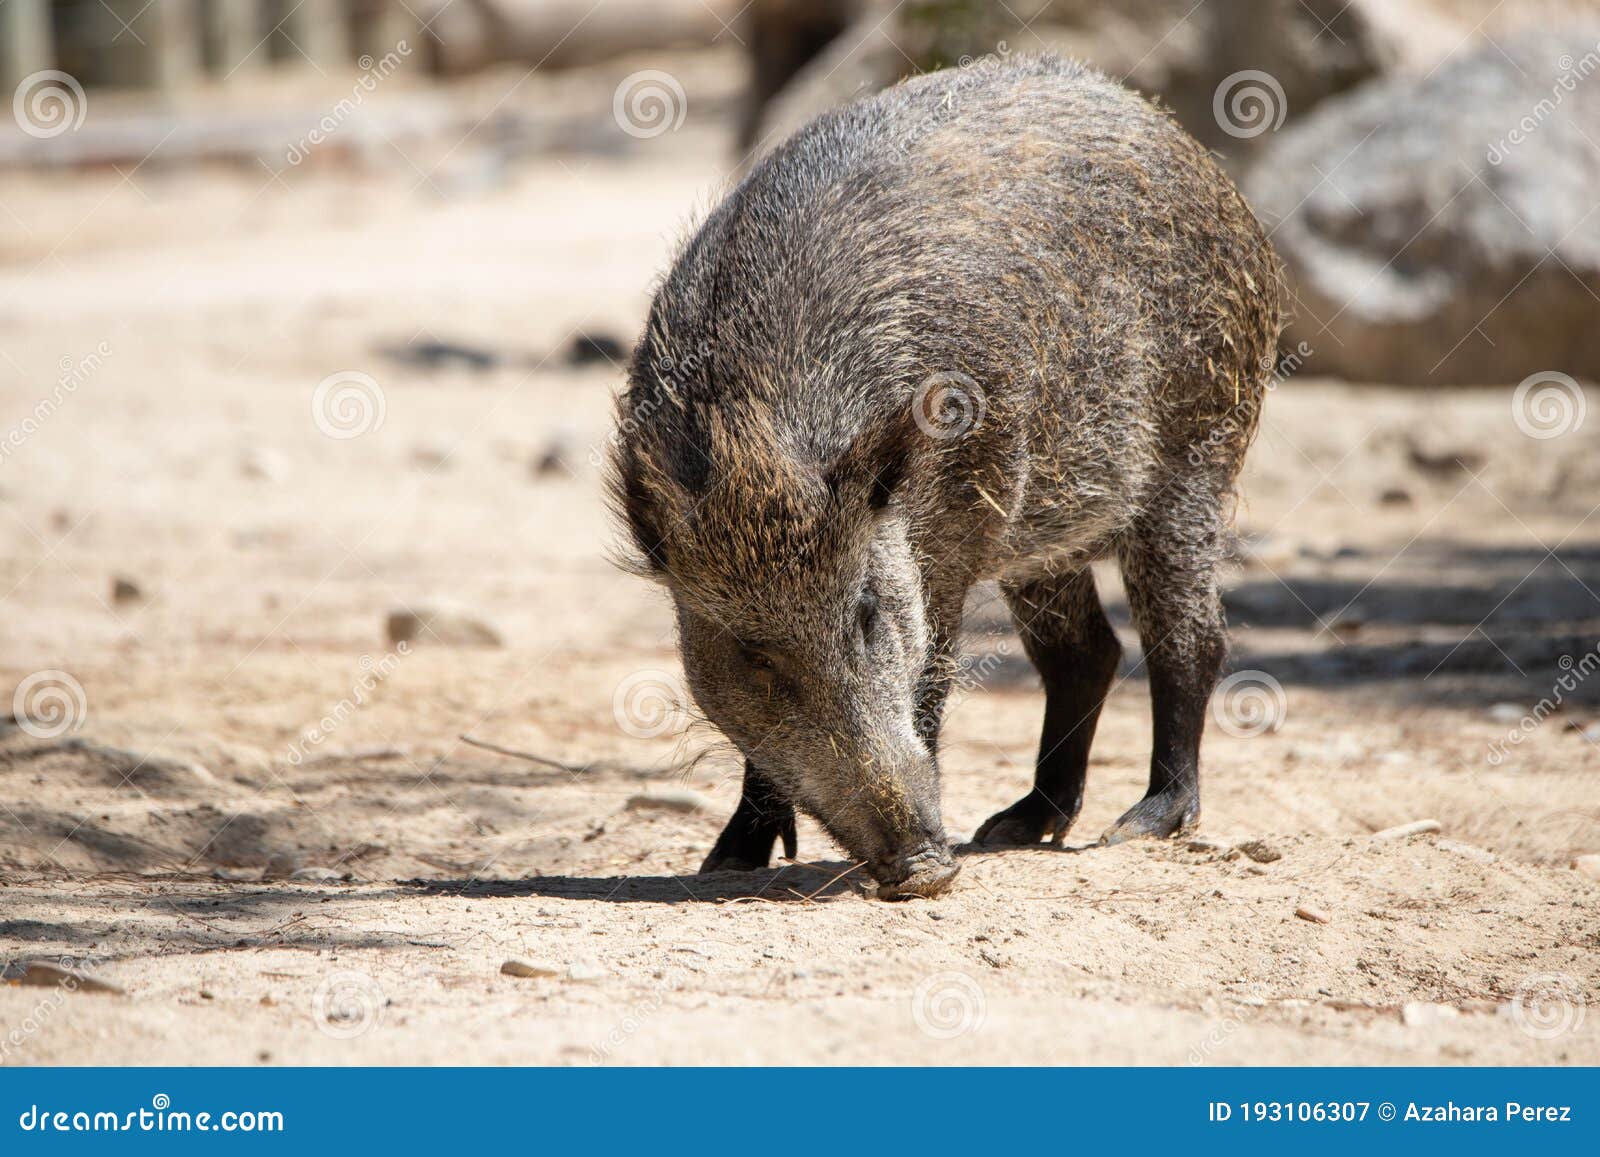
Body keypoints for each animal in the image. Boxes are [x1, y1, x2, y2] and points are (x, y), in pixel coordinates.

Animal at [608, 53, 1283, 898]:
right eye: (752, 653)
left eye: (867, 613)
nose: (924, 867)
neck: (759, 433)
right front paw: (727, 859)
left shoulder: (958, 528)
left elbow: (931, 672)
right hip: (1046, 532)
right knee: (1086, 652)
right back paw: (1016, 825)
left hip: (1194, 458)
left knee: (1191, 639)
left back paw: (1139, 825)